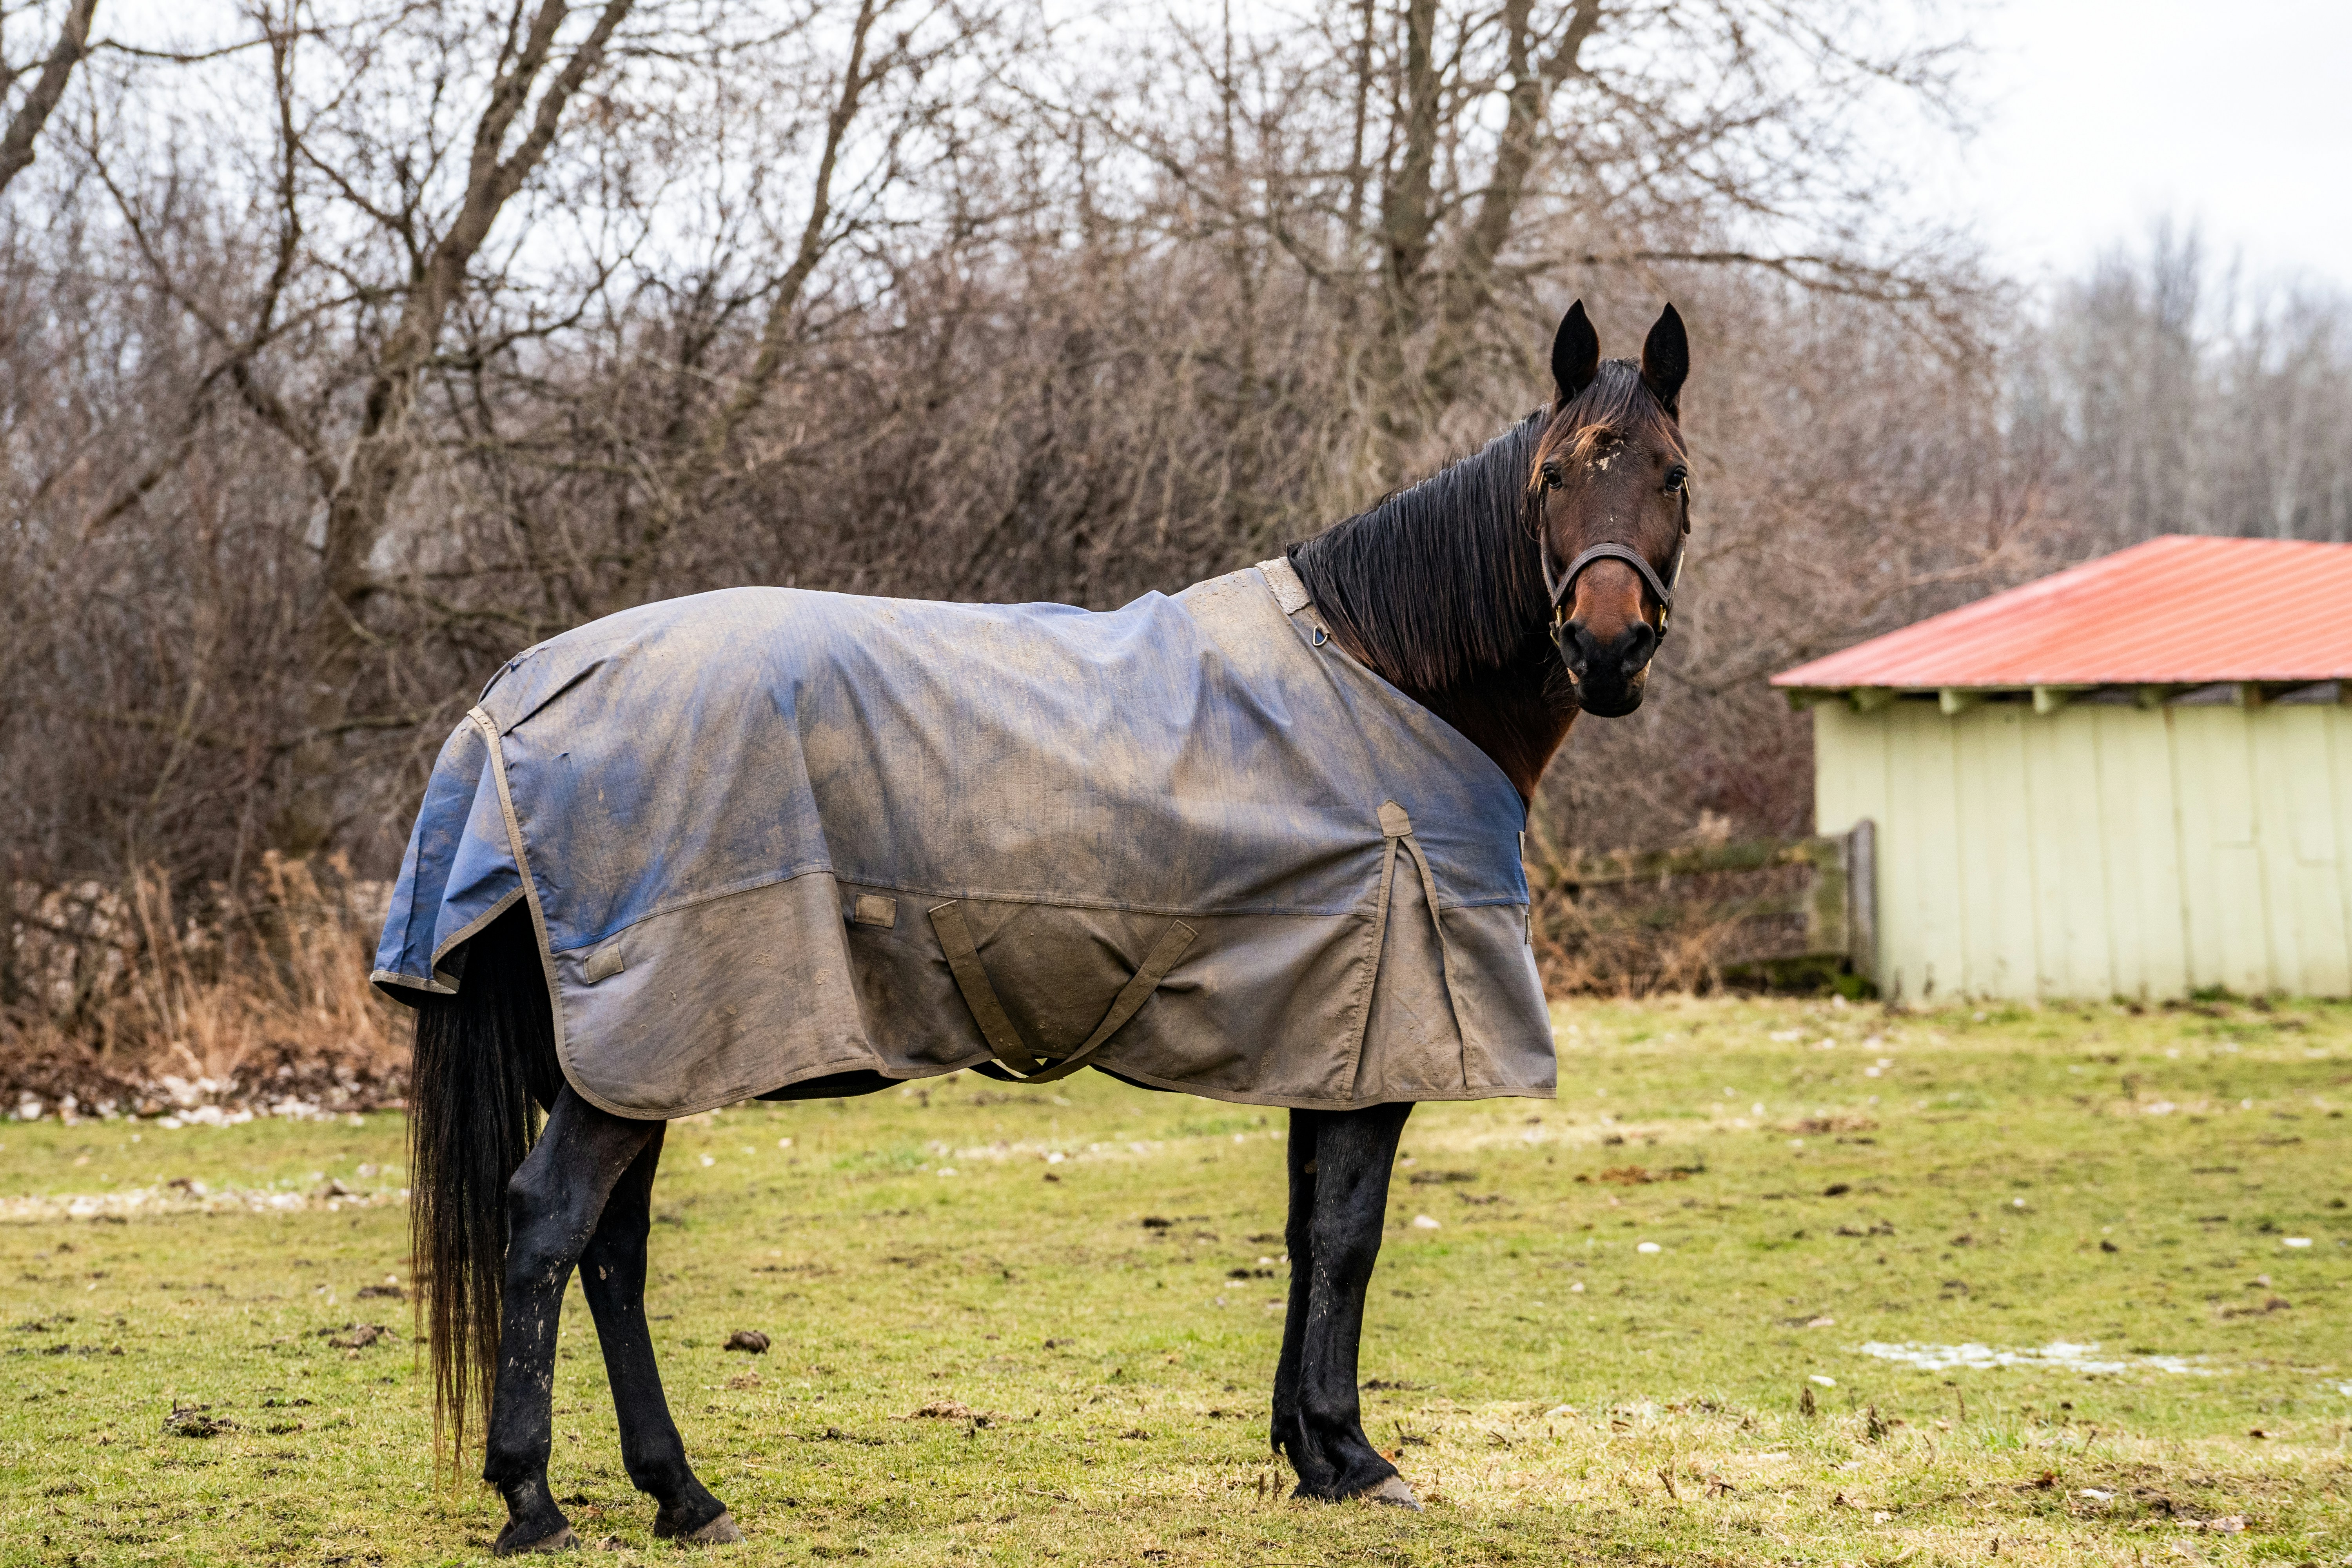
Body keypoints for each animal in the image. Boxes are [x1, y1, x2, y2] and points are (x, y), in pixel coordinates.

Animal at [390, 299, 1693, 1552]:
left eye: (1673, 476)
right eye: (1554, 476)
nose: (1607, 646)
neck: (1388, 674)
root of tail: (518, 695)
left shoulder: (1328, 1036)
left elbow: (1303, 1231)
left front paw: (1308, 1455)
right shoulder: (1386, 1037)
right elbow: (1346, 1237)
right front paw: (1354, 1458)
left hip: (634, 1055)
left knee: (613, 1245)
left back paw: (681, 1495)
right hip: (640, 1044)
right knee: (549, 1224)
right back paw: (534, 1500)